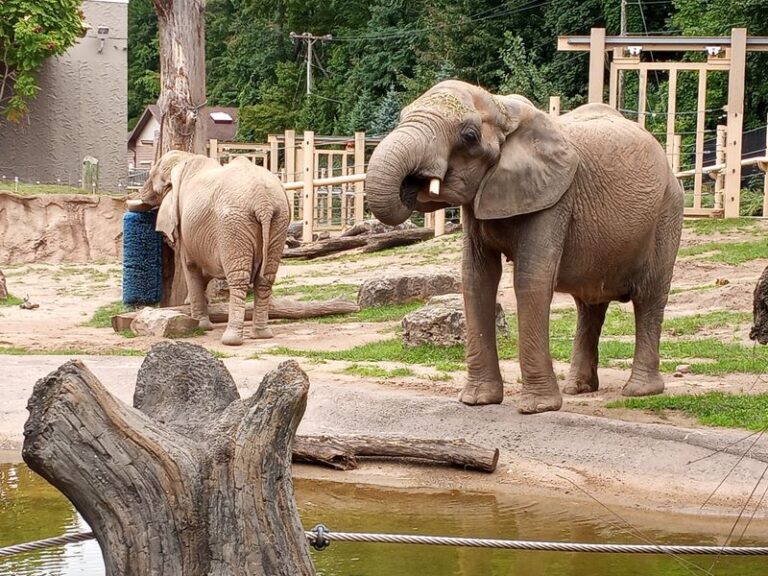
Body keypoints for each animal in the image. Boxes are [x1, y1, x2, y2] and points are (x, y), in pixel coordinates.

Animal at [136, 151, 290, 346]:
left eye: (151, 177)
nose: (141, 194)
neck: (185, 159)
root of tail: (263, 202)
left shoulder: (184, 228)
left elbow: (191, 267)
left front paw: (200, 325)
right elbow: (207, 268)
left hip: (233, 224)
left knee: (239, 278)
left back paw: (231, 340)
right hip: (279, 220)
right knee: (266, 278)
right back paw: (261, 334)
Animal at [364, 80, 683, 414]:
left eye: (469, 136)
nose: (414, 183)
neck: (502, 106)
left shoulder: (555, 196)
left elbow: (531, 279)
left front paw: (537, 408)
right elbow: (476, 279)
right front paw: (477, 401)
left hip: (667, 211)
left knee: (648, 296)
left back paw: (639, 391)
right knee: (590, 305)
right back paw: (577, 388)